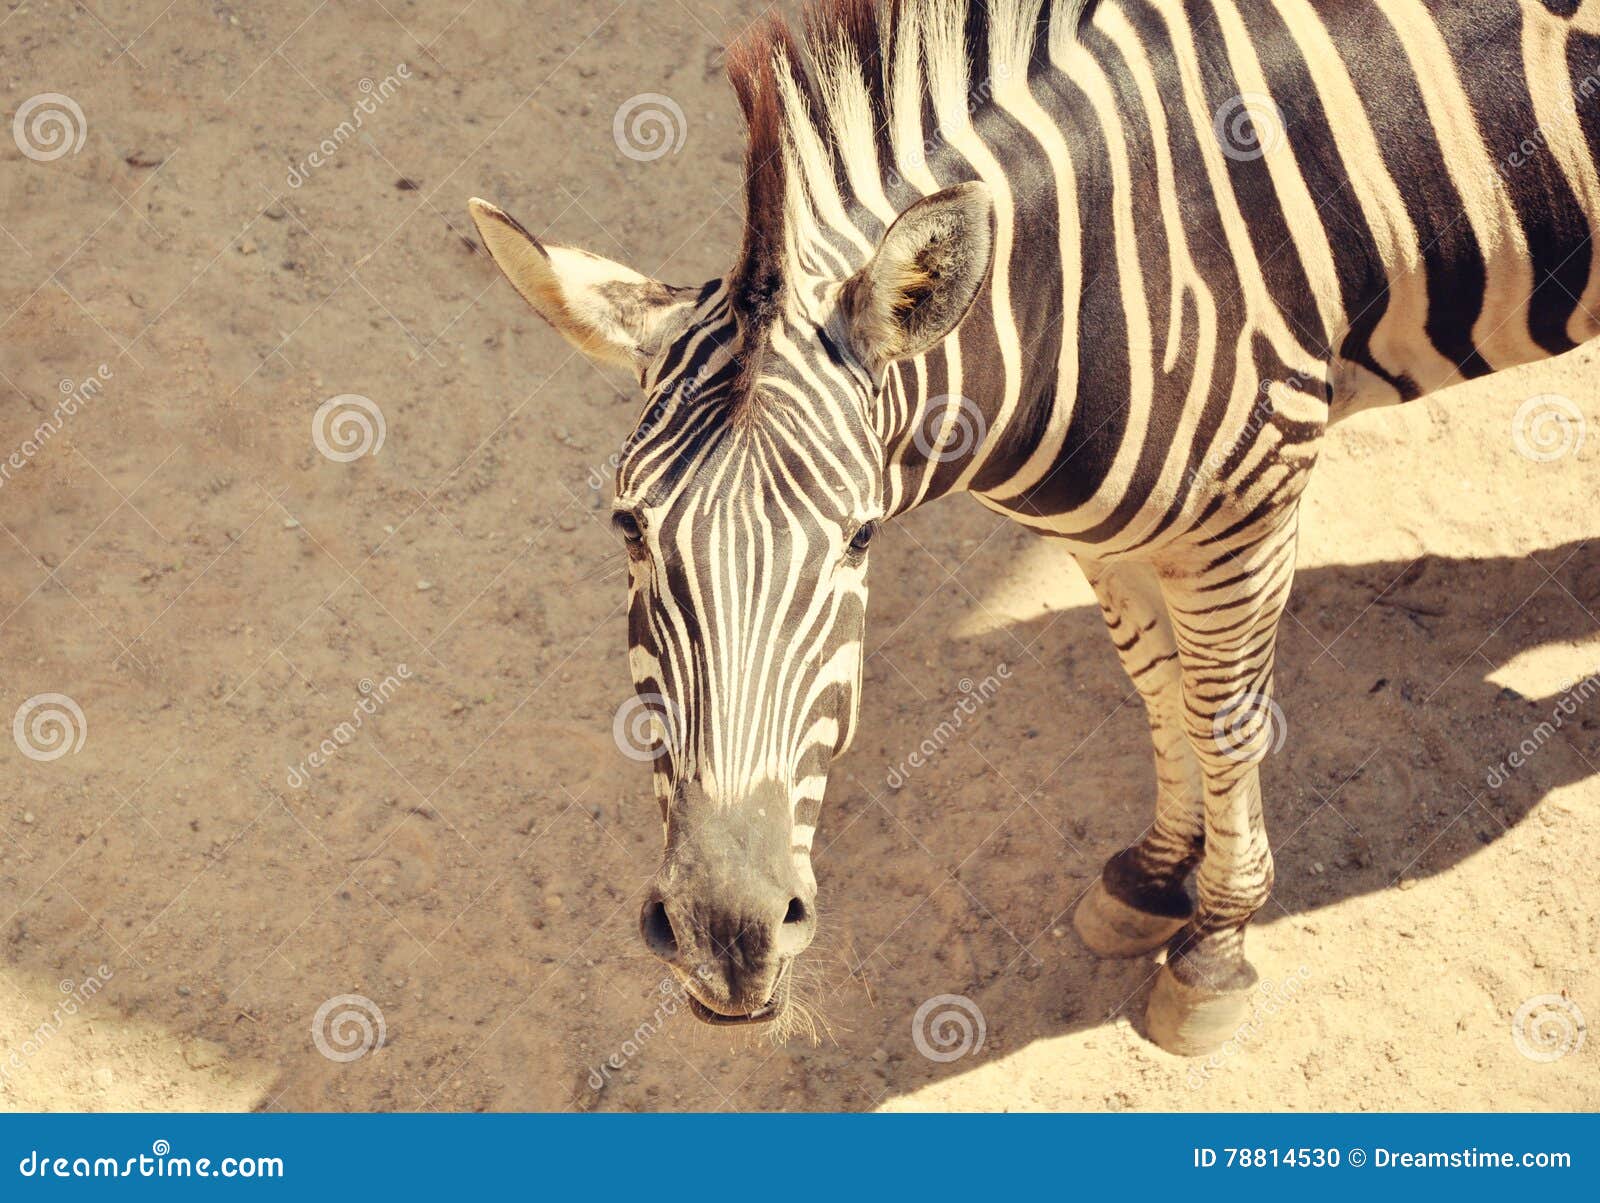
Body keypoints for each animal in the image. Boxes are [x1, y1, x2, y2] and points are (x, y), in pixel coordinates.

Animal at [469, 0, 1599, 1055]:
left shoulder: (1253, 506)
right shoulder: (1110, 538)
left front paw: (1214, 946)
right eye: (628, 527)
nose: (727, 940)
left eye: (859, 538)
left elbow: (1224, 723)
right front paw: (1154, 878)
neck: (1083, 290)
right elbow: (1159, 691)